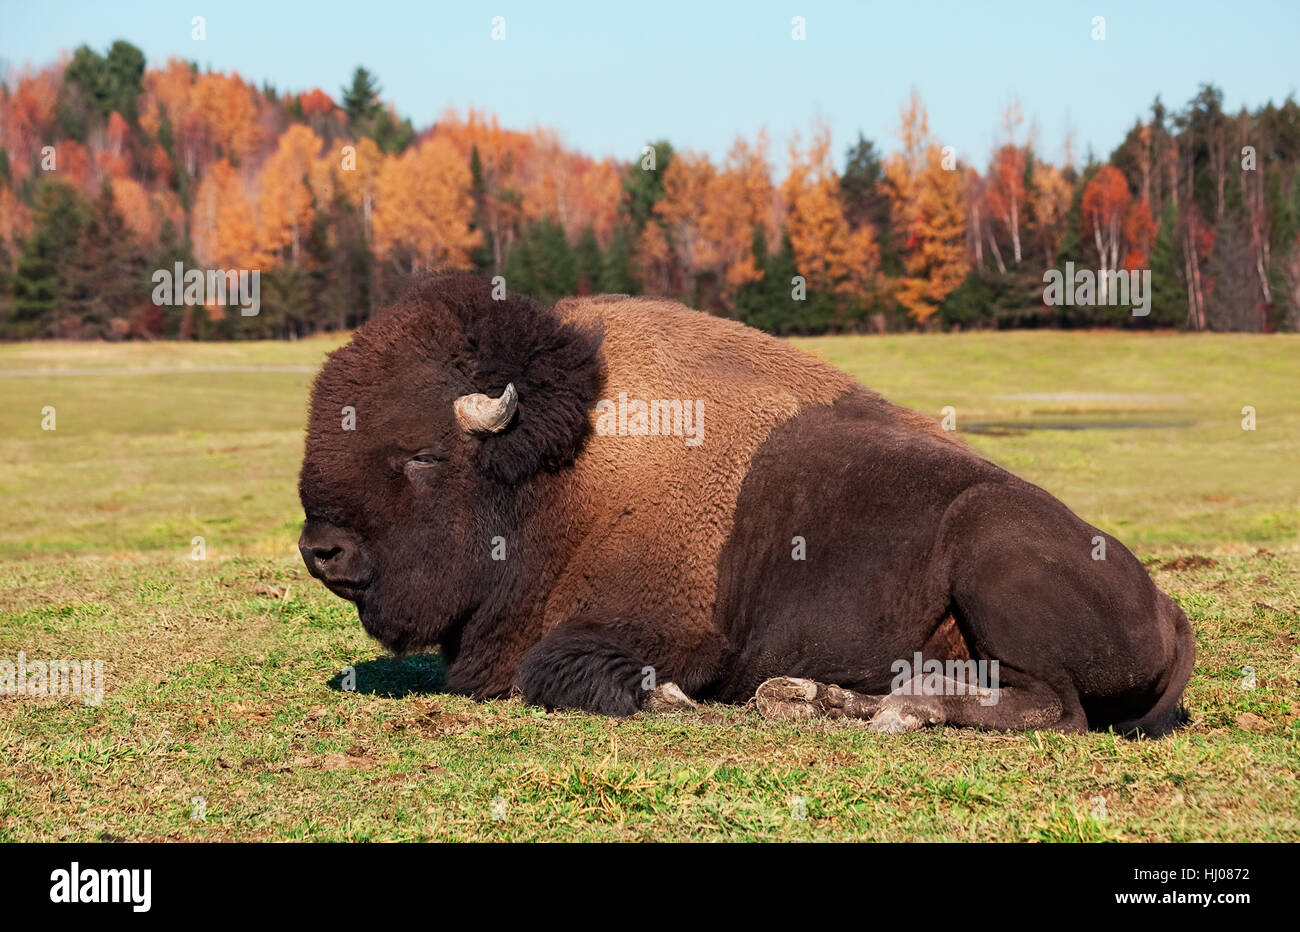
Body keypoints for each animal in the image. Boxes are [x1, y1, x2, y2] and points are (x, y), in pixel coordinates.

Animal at [298, 272, 1193, 735]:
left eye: (422, 454)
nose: (322, 549)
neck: (562, 473)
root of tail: (1170, 607)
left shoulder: (670, 631)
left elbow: (560, 669)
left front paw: (665, 697)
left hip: (989, 556)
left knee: (1053, 708)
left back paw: (896, 712)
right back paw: (815, 697)